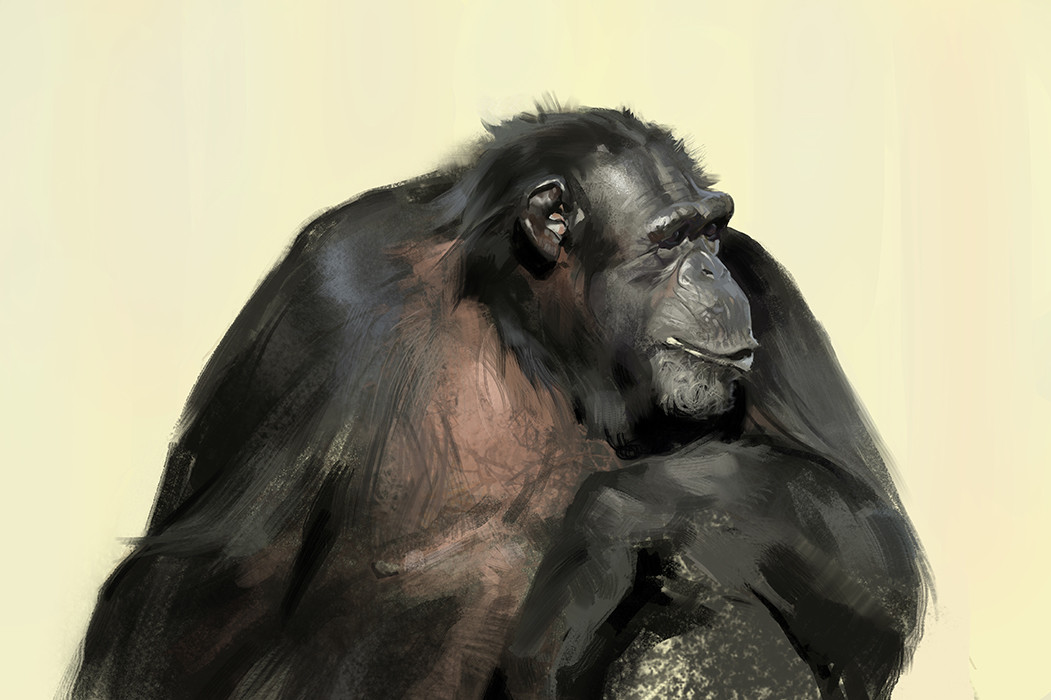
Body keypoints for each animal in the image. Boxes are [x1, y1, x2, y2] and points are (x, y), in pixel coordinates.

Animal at [70, 107, 929, 699]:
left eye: (712, 231)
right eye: (667, 239)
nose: (710, 272)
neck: (536, 332)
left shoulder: (768, 289)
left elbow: (875, 556)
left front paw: (608, 520)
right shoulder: (323, 296)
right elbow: (176, 600)